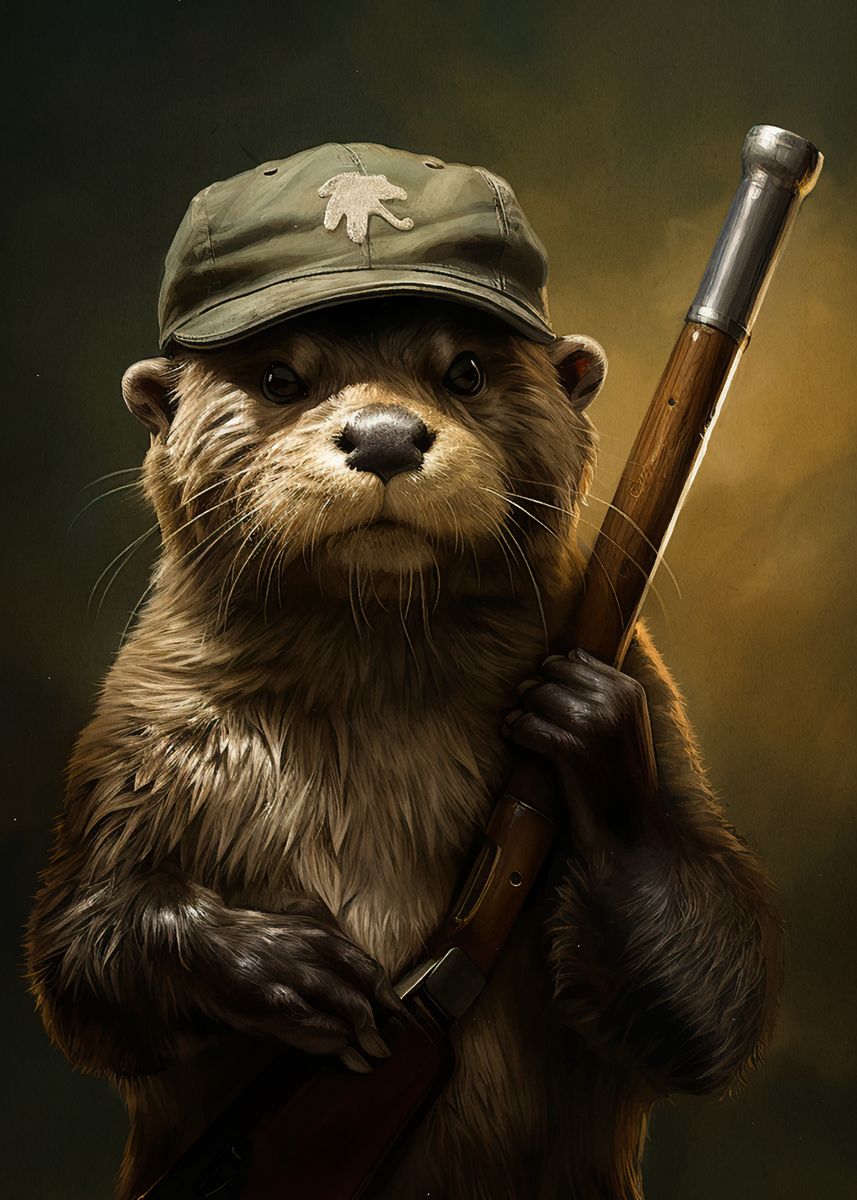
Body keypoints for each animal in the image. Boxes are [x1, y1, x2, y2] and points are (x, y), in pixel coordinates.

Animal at [26, 294, 782, 1200]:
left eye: (465, 369)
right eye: (279, 377)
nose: (384, 436)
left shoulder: (658, 707)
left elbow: (713, 999)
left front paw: (587, 722)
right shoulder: (129, 747)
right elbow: (82, 949)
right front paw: (287, 970)